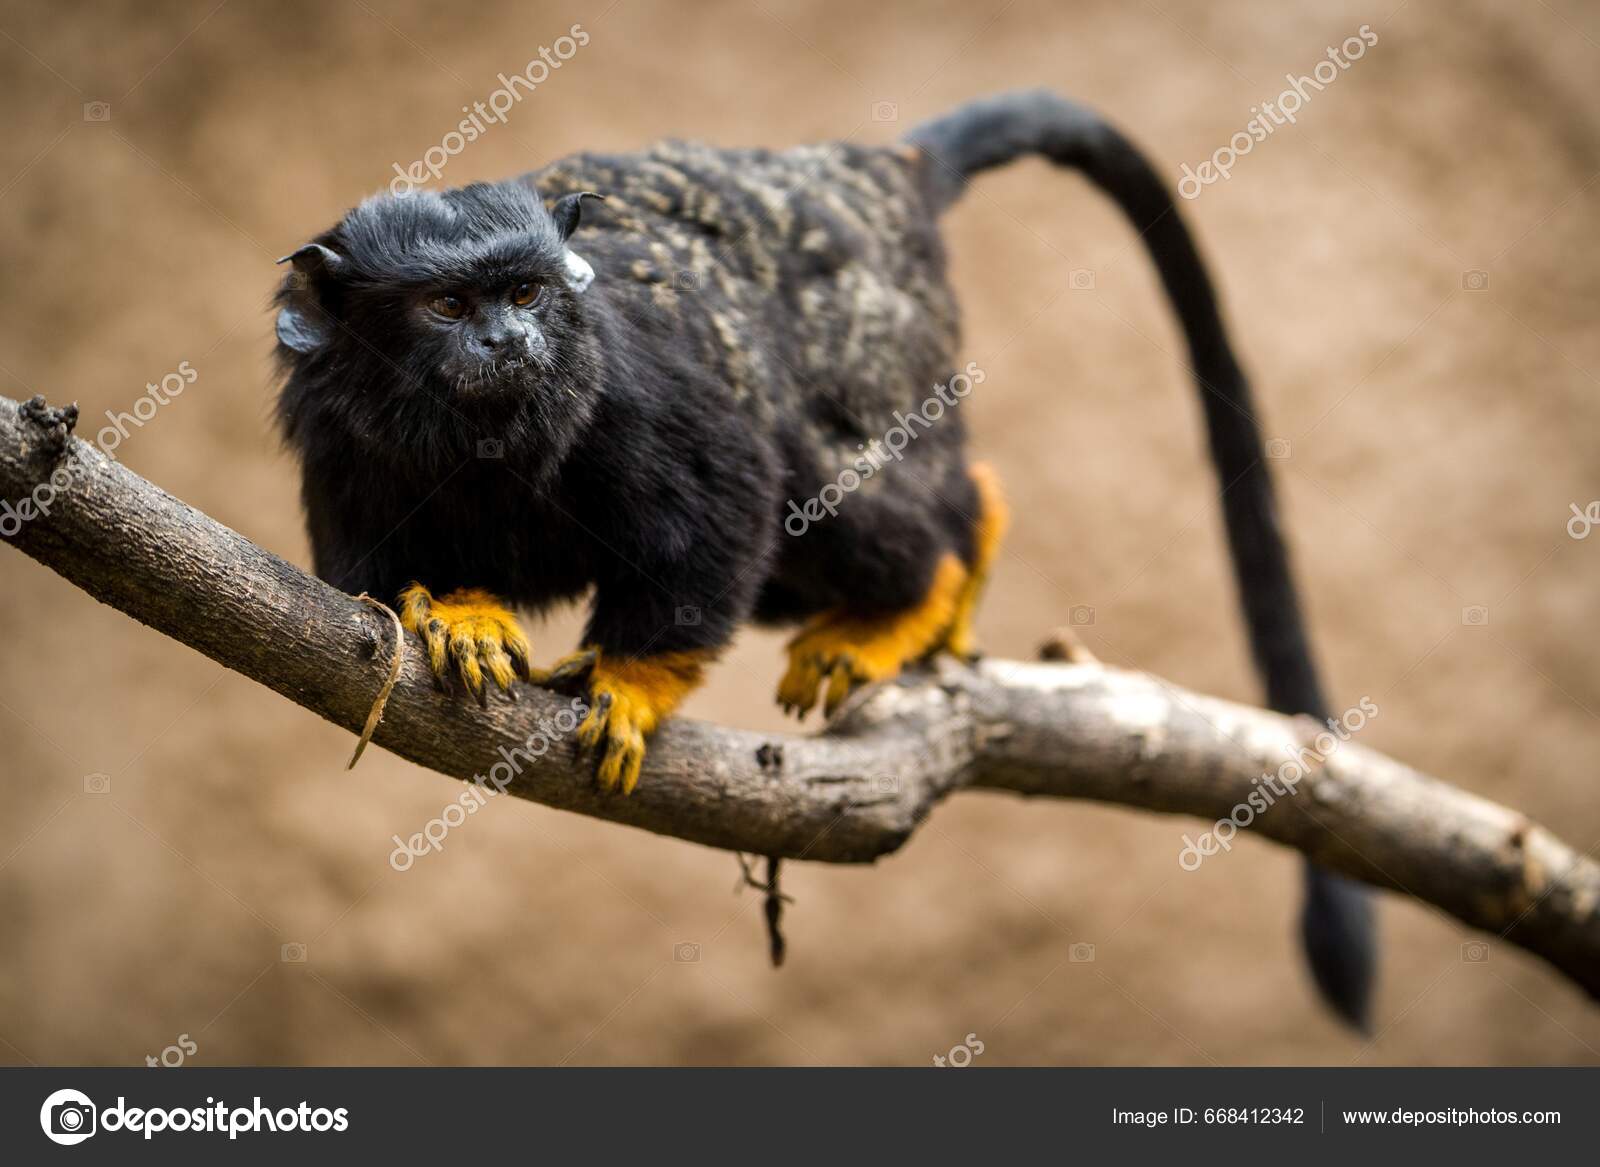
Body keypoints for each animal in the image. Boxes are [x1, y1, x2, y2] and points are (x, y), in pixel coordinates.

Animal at [273, 89, 1374, 1028]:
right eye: (450, 307)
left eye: (529, 292)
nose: (511, 341)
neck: (484, 432)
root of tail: (878, 172)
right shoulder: (338, 443)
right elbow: (368, 579)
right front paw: (458, 612)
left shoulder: (638, 380)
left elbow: (729, 491)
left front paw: (632, 681)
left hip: (880, 354)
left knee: (836, 474)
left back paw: (938, 573)